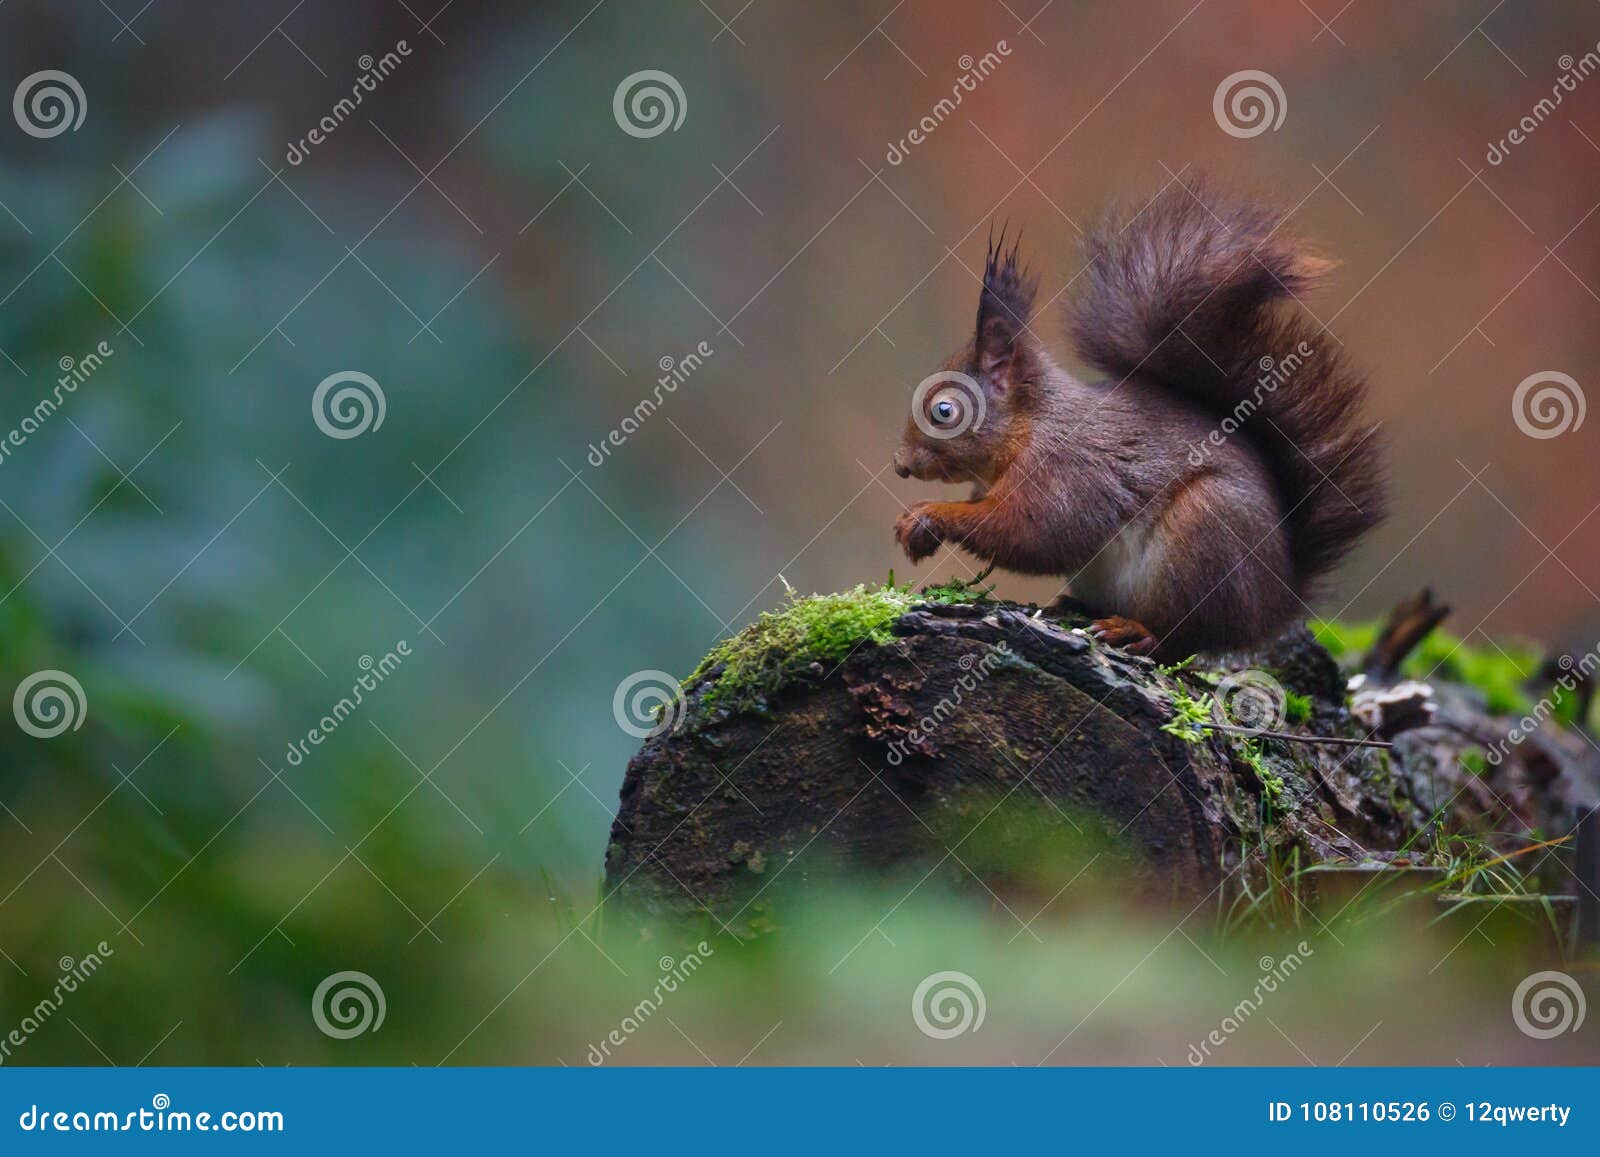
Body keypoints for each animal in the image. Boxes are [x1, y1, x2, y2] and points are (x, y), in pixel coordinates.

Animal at [891, 180, 1388, 661]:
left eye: (944, 411)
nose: (900, 465)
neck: (1030, 426)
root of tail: (1277, 602)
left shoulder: (1068, 472)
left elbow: (1031, 533)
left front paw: (929, 516)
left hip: (1205, 534)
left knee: (1186, 637)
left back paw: (1137, 631)